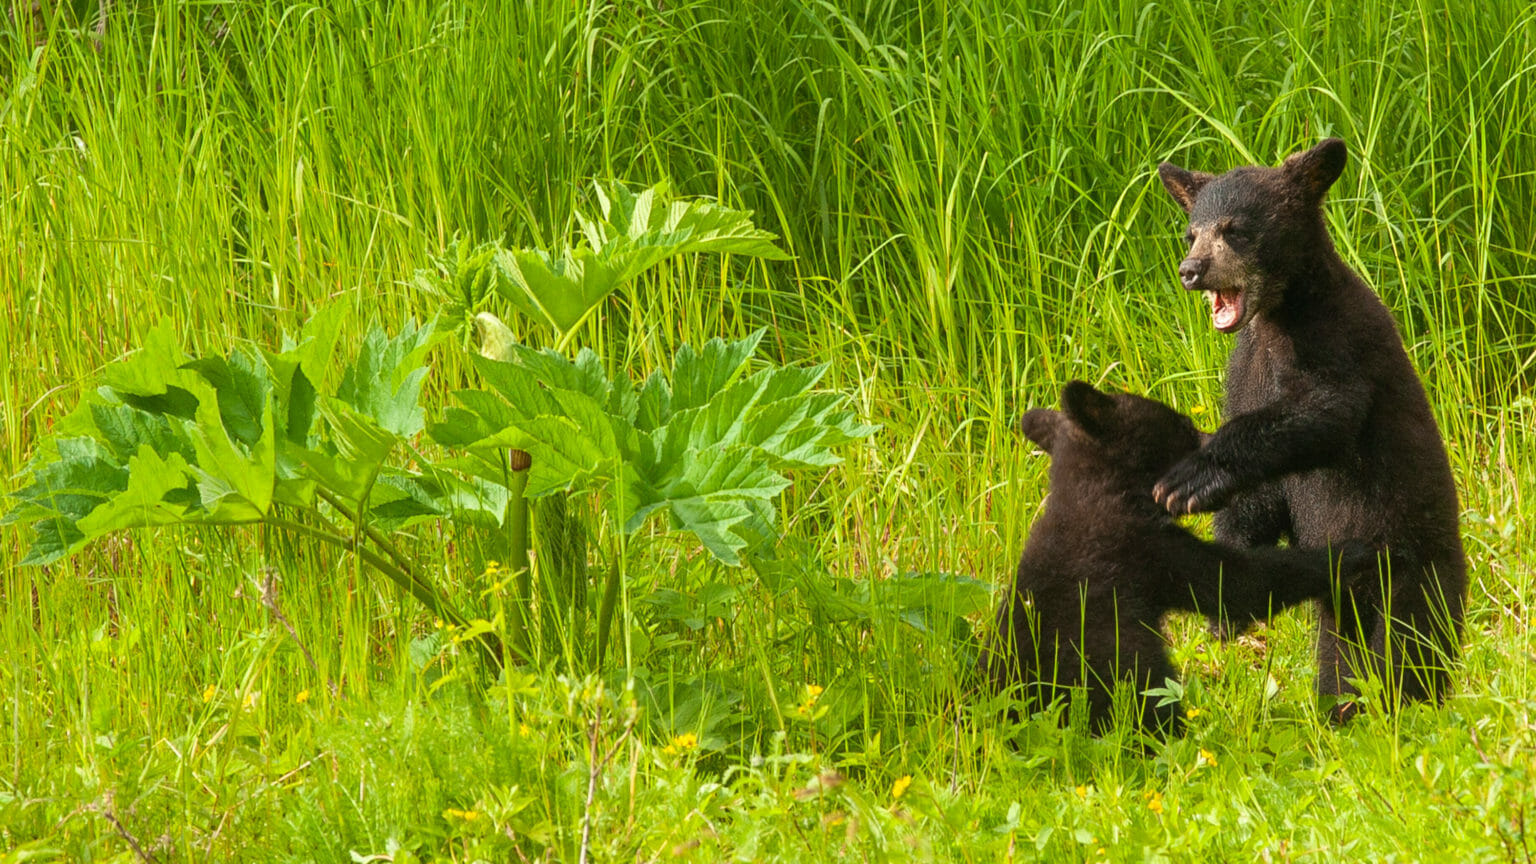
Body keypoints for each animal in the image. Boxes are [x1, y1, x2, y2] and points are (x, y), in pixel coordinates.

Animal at [982, 381, 1365, 735]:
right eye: (1183, 425)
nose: (1212, 435)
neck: (1097, 492)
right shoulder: (1147, 548)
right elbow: (1238, 582)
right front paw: (1348, 554)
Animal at [1154, 138, 1467, 720]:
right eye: (1191, 231)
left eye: (1235, 229)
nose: (1191, 269)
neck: (1281, 315)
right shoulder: (1247, 367)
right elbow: (1262, 496)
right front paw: (1226, 601)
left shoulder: (1340, 338)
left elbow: (1326, 410)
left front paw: (1193, 476)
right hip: (1339, 615)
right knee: (1339, 667)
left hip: (1415, 574)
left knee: (1409, 650)